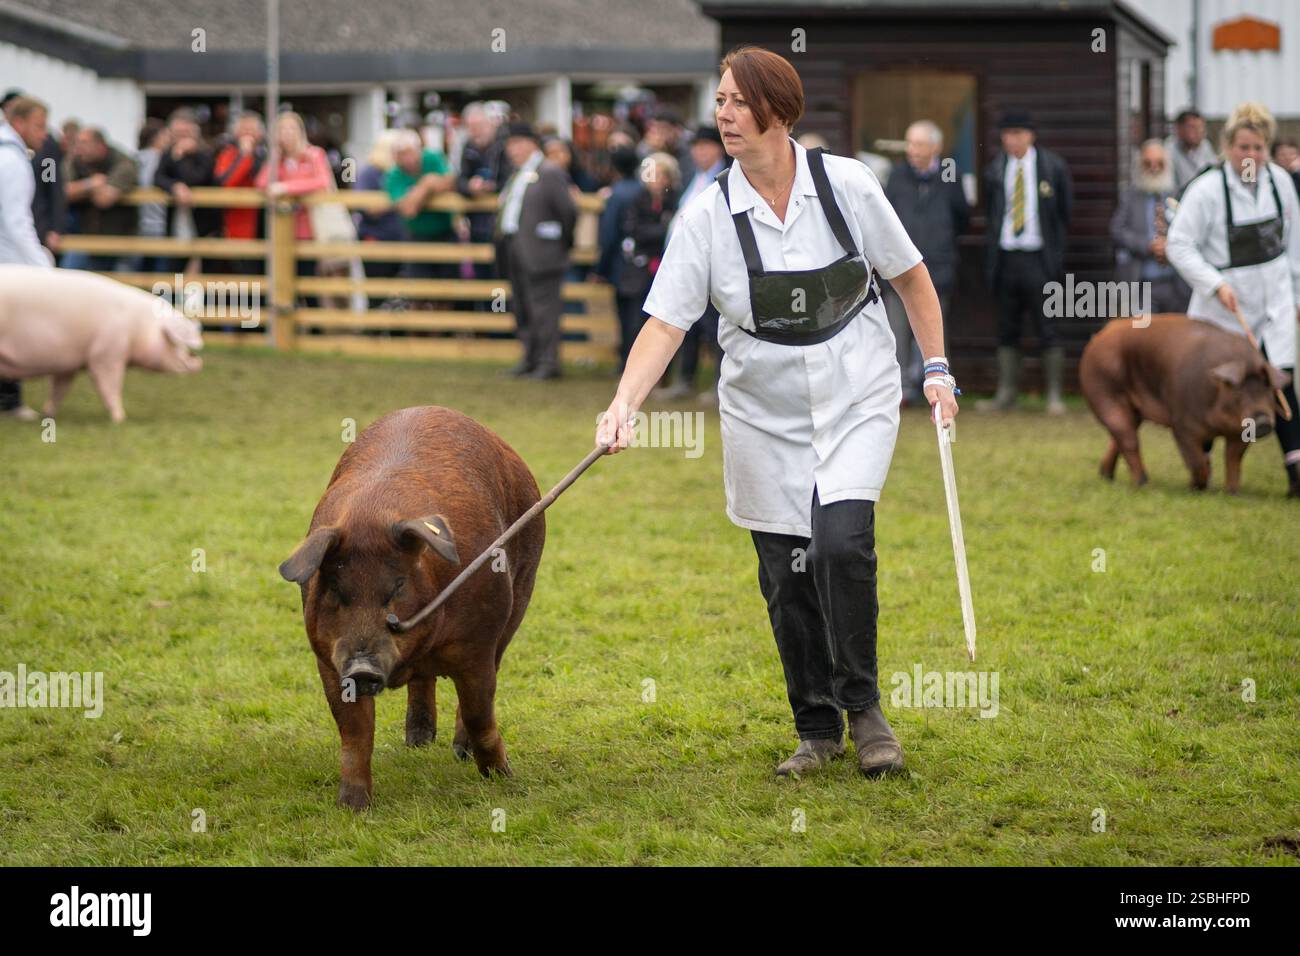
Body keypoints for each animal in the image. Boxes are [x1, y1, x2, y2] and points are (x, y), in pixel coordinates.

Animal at [0, 264, 203, 423]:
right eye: (174, 341)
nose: (197, 360)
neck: (137, 326)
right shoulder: (107, 354)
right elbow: (110, 386)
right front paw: (120, 419)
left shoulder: (67, 363)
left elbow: (59, 389)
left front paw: (46, 414)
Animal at [279, 406, 544, 811]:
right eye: (337, 590)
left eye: (398, 586)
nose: (362, 668)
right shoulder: (328, 658)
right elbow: (355, 733)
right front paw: (352, 808)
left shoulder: (478, 642)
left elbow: (479, 711)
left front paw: (502, 777)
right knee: (423, 683)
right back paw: (417, 741)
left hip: (522, 590)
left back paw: (457, 751)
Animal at [1079, 313, 1291, 493]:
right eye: (1238, 392)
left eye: (1268, 390)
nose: (1262, 421)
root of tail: (1102, 334)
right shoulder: (1182, 424)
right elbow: (1197, 462)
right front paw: (1198, 488)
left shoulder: (1239, 433)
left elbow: (1233, 459)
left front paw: (1232, 492)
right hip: (1104, 389)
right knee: (1128, 438)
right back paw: (1142, 484)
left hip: (1133, 409)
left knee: (1118, 437)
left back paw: (1107, 476)